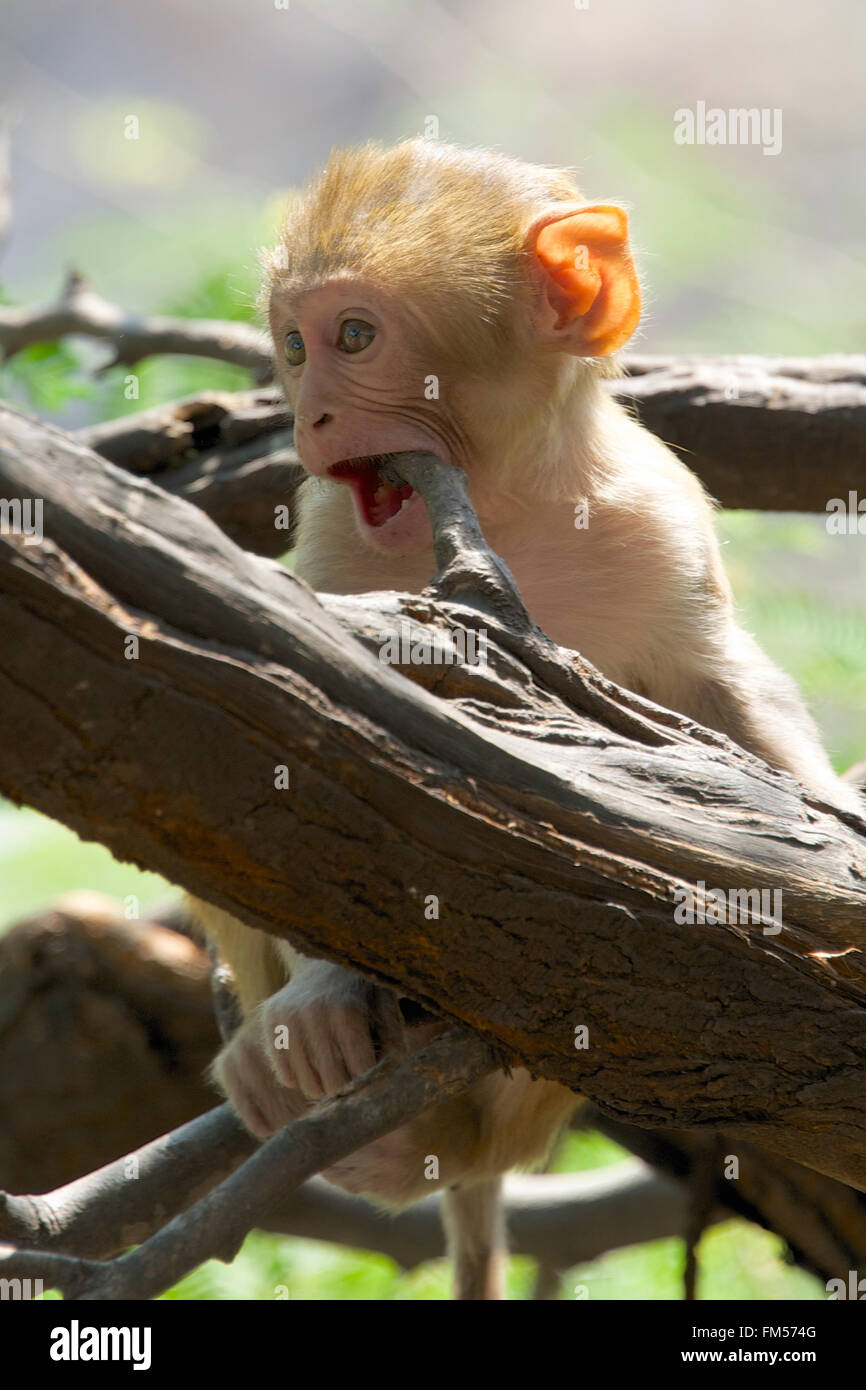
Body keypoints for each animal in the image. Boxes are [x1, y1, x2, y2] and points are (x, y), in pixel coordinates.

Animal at [192, 139, 862, 1300]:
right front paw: (321, 997)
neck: (502, 510)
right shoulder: (332, 547)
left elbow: (731, 701)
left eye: (354, 336)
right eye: (292, 346)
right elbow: (285, 752)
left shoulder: (659, 523)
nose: (310, 416)